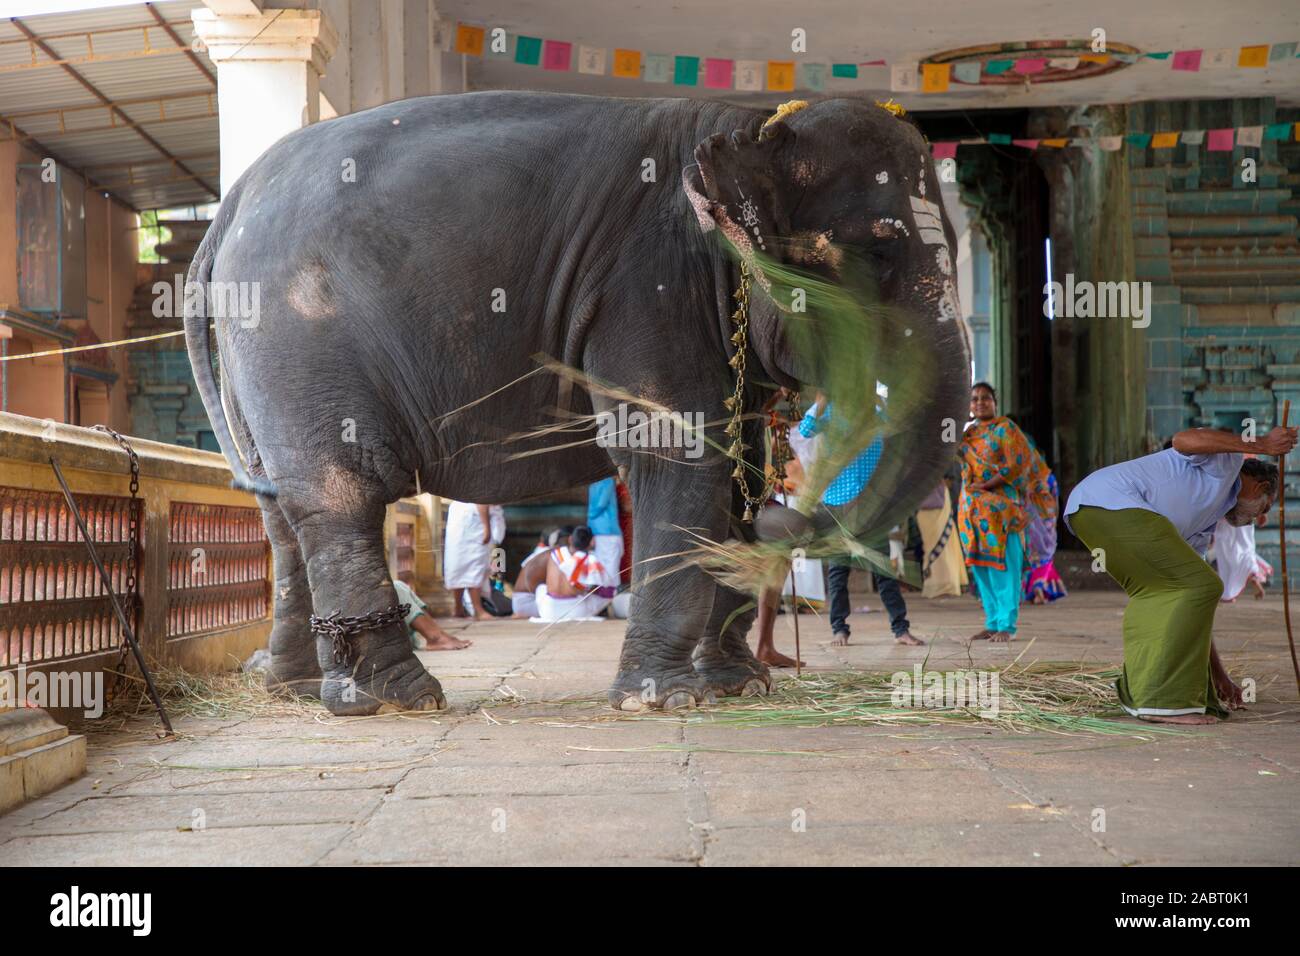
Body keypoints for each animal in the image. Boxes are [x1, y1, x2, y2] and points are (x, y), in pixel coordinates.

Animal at [183, 91, 970, 716]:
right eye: (878, 254)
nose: (793, 513)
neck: (745, 128)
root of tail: (226, 213)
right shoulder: (649, 285)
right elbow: (676, 455)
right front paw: (662, 701)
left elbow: (735, 461)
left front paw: (736, 687)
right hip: (299, 336)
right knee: (341, 495)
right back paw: (398, 701)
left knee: (282, 512)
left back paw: (291, 690)